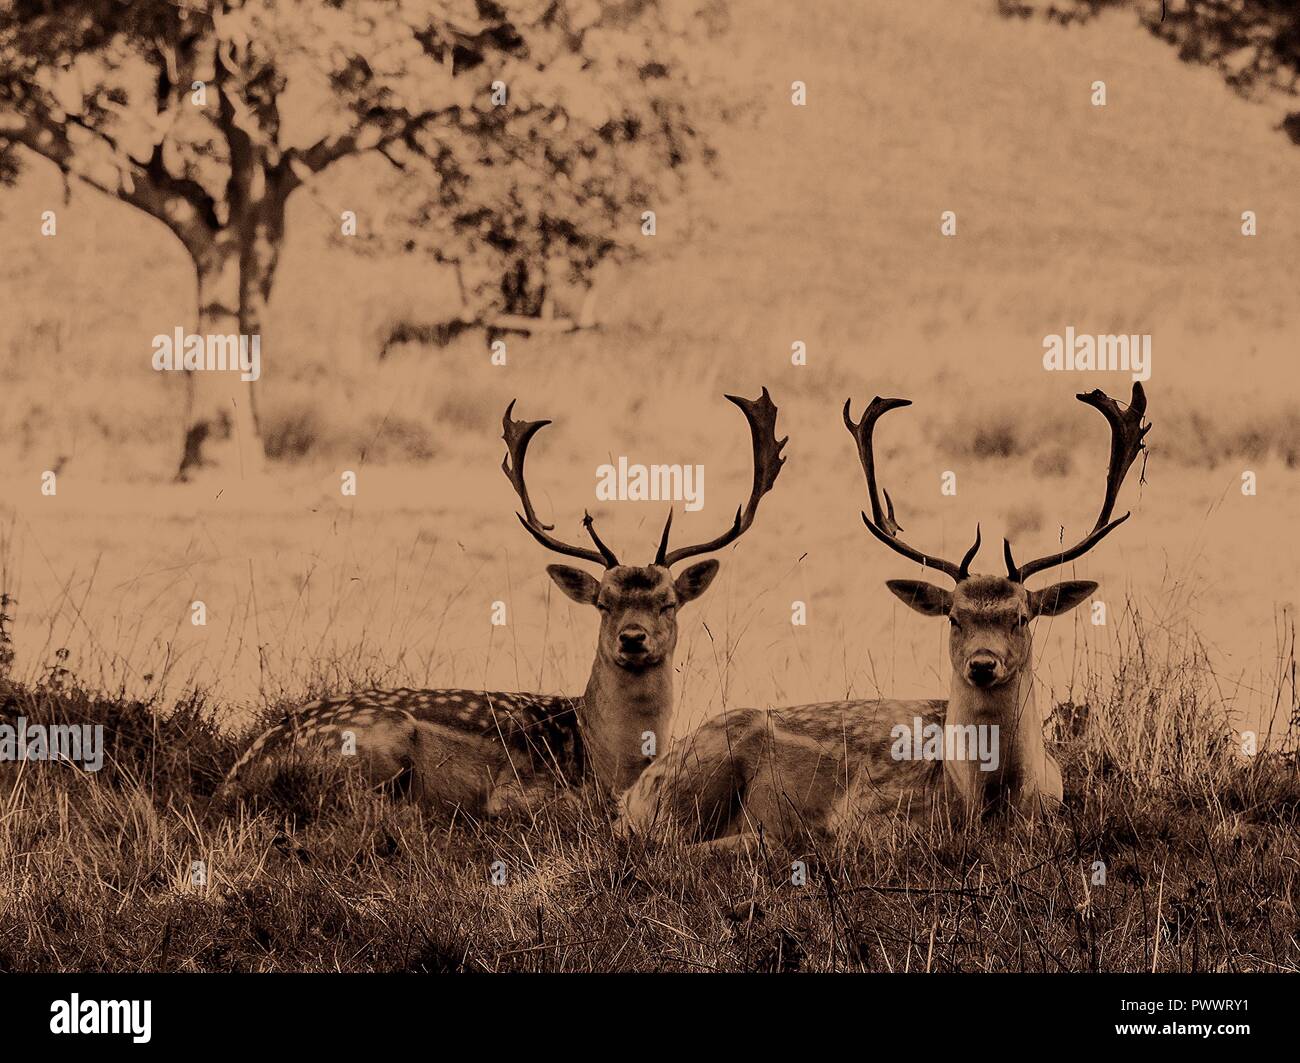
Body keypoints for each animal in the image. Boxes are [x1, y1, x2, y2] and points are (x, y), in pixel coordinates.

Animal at [224, 389, 787, 817]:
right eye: (603, 602)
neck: (610, 758)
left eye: (668, 602)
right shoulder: (523, 789)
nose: (632, 638)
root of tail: (238, 772)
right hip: (377, 737)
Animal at [618, 383, 1149, 848]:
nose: (982, 663)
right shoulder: (867, 812)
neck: (981, 803)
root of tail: (630, 794)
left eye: (1022, 617)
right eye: (954, 617)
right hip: (694, 781)